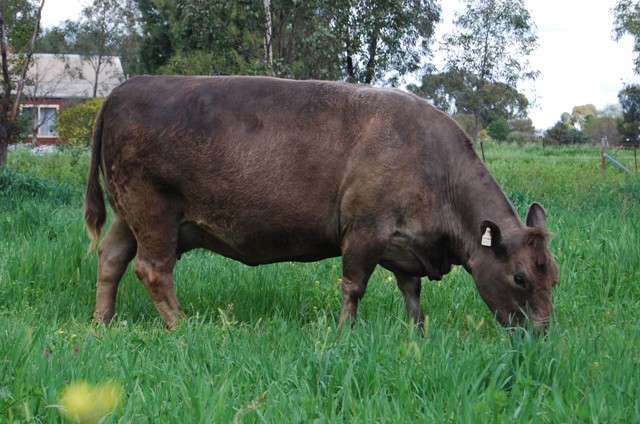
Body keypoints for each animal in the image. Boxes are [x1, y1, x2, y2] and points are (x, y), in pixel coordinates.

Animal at [85, 75, 559, 331]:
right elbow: (354, 285)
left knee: (110, 259)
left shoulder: (405, 245)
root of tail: (122, 91)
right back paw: (181, 325)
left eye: (552, 276)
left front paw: (417, 333)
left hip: (127, 217)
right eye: (519, 278)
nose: (540, 333)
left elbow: (411, 292)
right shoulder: (365, 232)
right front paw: (346, 331)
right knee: (153, 270)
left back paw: (102, 322)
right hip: (154, 214)